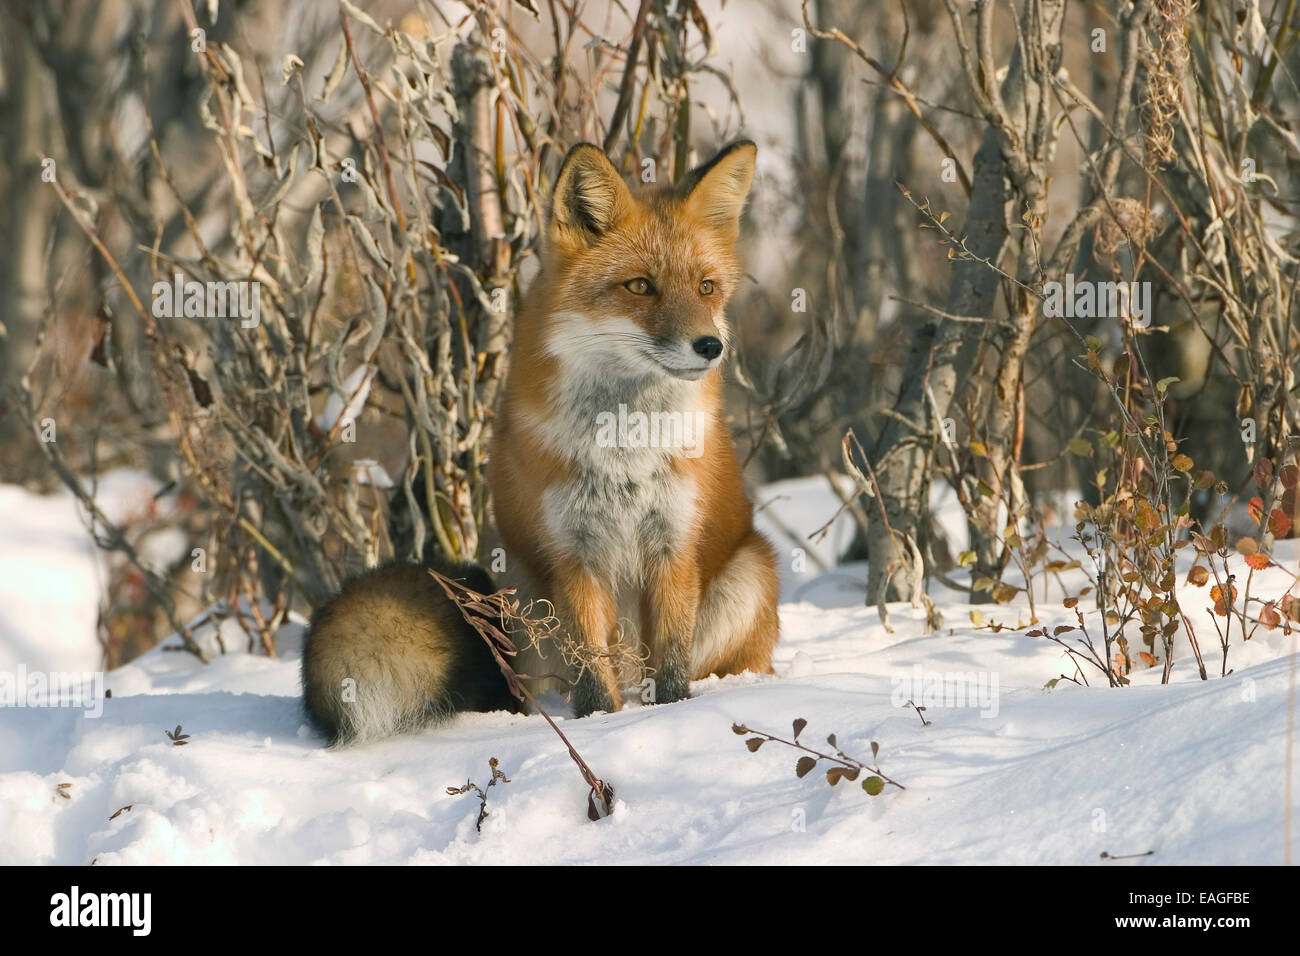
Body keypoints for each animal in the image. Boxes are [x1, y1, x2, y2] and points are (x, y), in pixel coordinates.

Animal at [301, 139, 779, 743]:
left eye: (706, 287)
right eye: (640, 286)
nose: (711, 346)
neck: (626, 451)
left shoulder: (673, 544)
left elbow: (671, 664)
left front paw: (672, 718)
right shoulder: (572, 553)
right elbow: (591, 673)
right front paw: (599, 727)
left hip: (748, 574)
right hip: (523, 600)